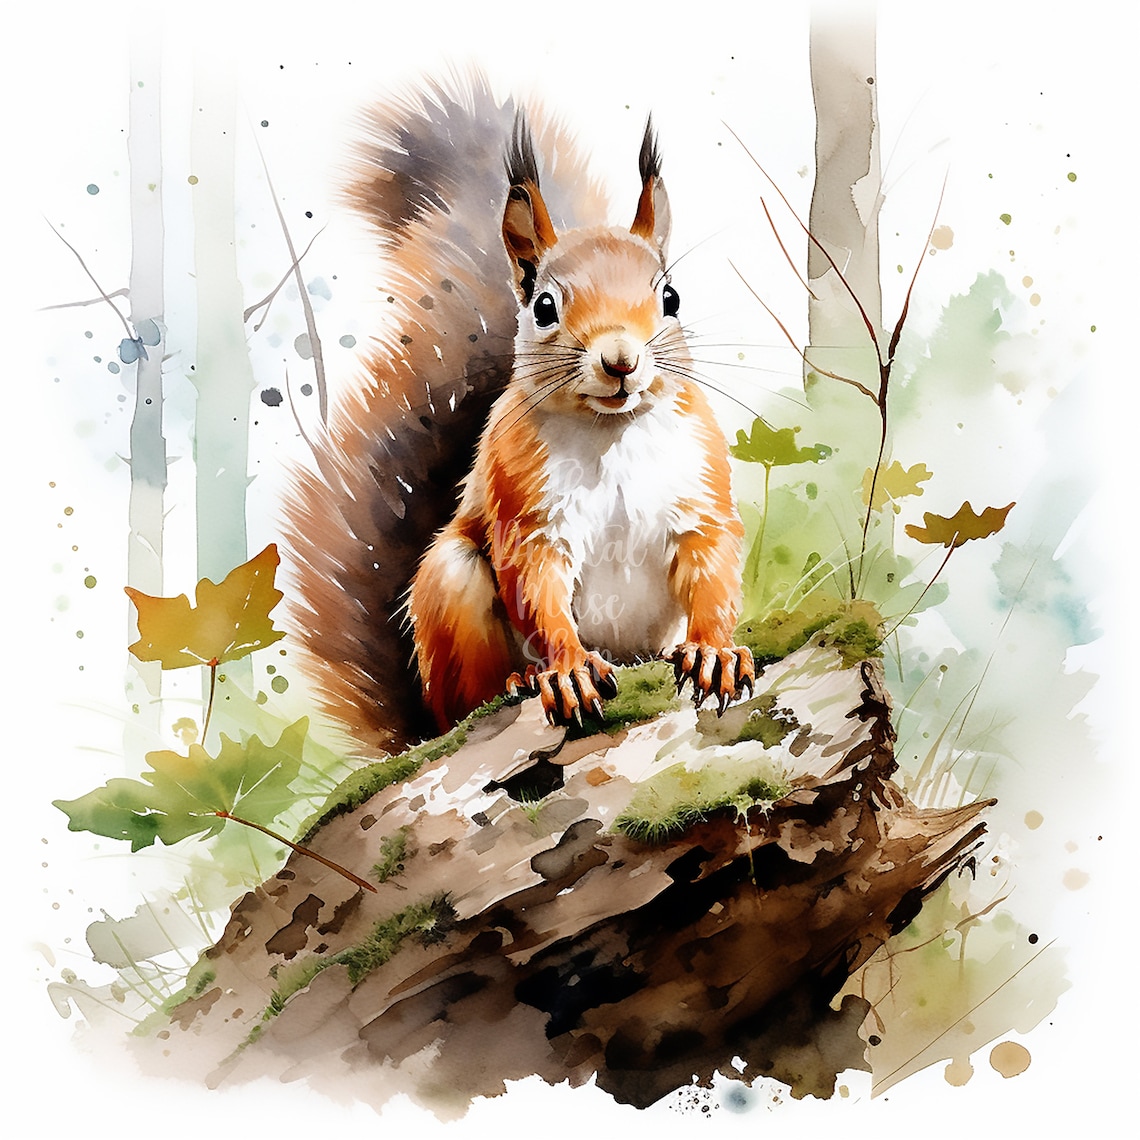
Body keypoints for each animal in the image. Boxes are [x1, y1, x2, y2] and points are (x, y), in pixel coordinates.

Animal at [283, 75, 753, 755]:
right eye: (544, 306)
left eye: (670, 296)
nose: (620, 359)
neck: (610, 433)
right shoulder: (526, 511)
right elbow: (537, 590)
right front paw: (568, 670)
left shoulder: (700, 493)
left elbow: (715, 568)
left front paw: (716, 652)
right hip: (452, 586)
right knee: (467, 693)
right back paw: (516, 681)